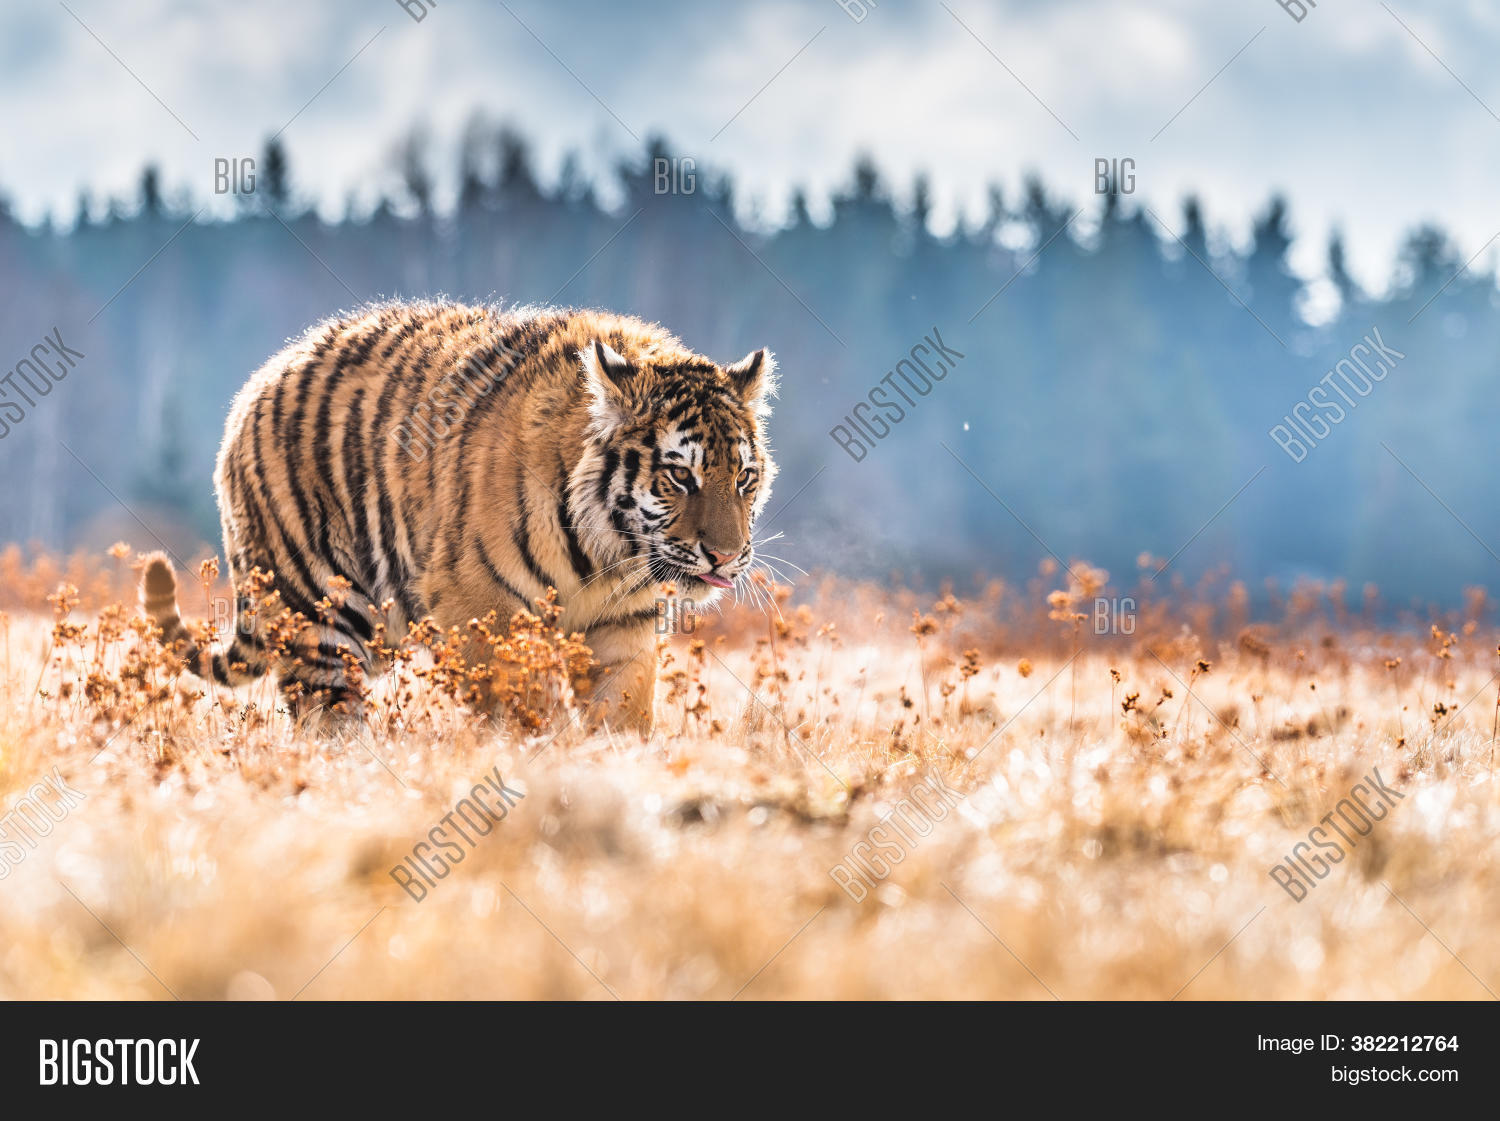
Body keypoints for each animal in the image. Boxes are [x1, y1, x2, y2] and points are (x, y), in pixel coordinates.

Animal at [140, 301, 778, 735]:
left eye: (743, 478)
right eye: (680, 476)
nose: (726, 555)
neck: (608, 558)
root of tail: (256, 385)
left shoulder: (625, 627)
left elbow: (623, 715)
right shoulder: (480, 606)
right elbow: (519, 709)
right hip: (320, 614)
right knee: (326, 721)